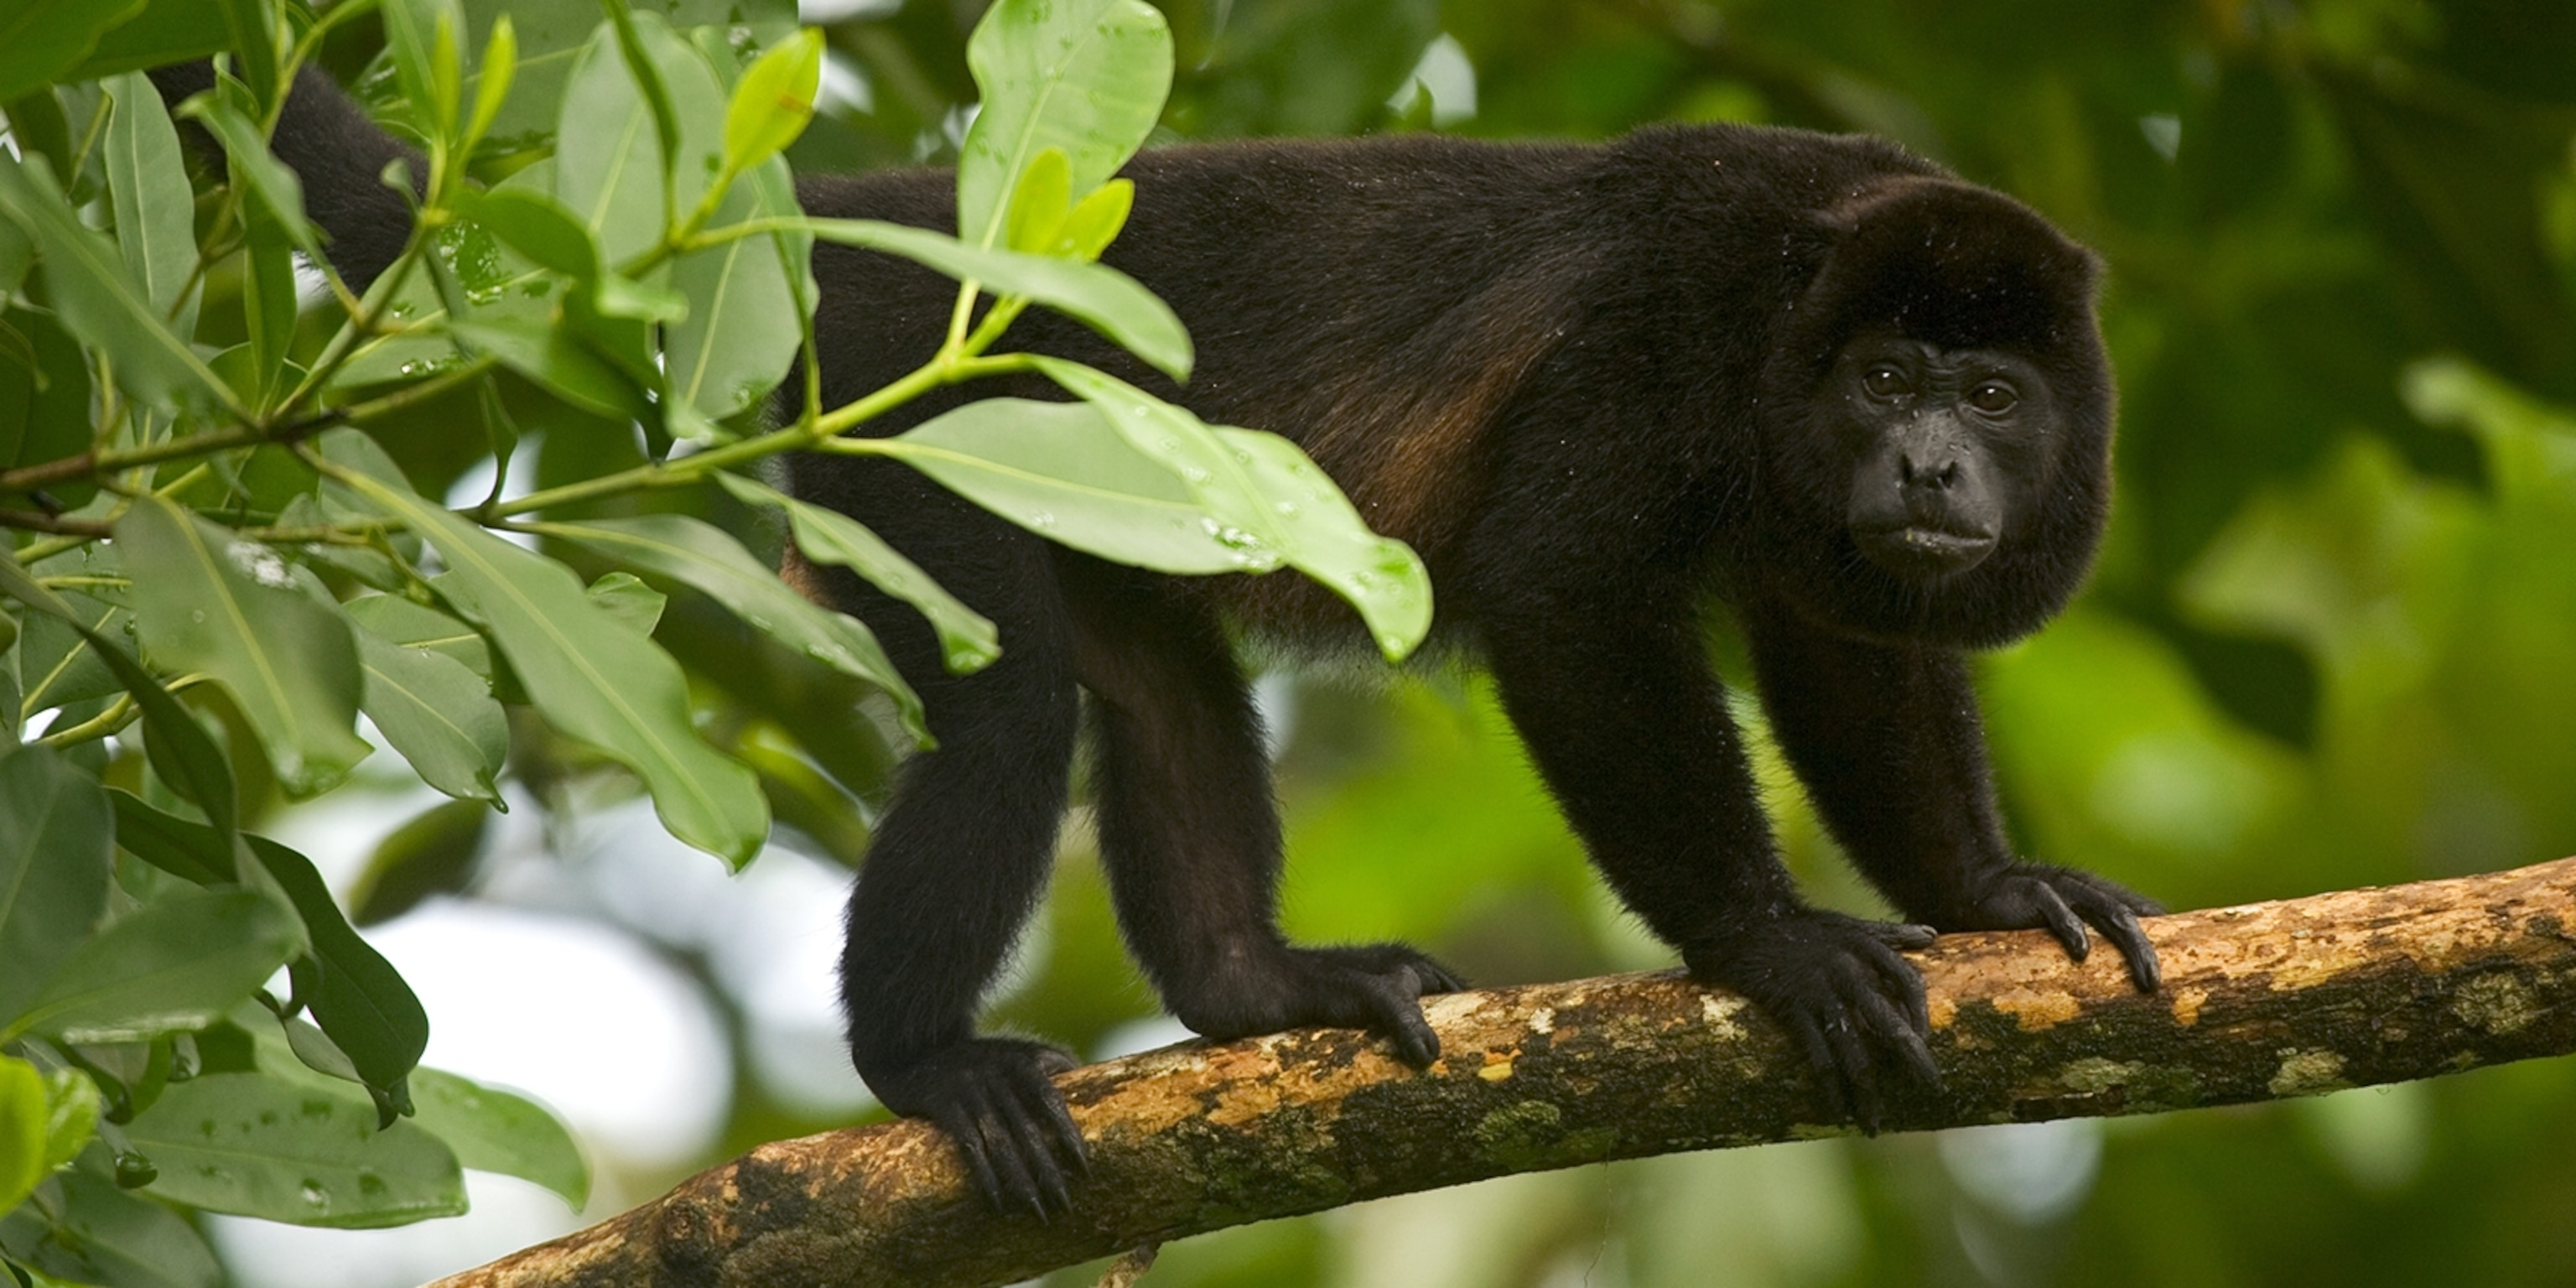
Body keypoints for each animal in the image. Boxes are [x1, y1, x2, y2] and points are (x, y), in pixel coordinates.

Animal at [159, 59, 2160, 1217]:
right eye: (1891, 379)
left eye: (1990, 395)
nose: (1928, 465)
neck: (1791, 317)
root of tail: (854, 222)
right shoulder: (1664, 334)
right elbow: (1562, 596)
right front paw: (1777, 943)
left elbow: (1854, 657)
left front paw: (1988, 889)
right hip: (887, 405)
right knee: (1012, 706)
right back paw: (924, 1065)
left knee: (1157, 686)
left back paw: (1248, 988)